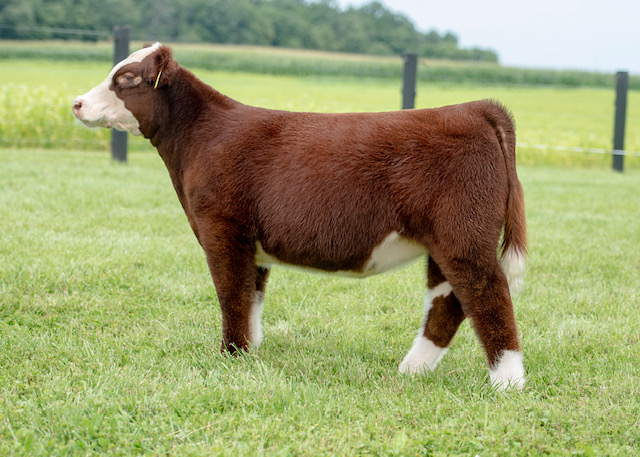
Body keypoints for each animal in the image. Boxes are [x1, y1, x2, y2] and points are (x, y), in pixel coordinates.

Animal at [73, 43, 528, 390]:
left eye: (126, 79)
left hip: (463, 235)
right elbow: (252, 296)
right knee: (447, 301)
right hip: (444, 241)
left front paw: (231, 356)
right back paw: (411, 370)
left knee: (488, 295)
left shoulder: (222, 228)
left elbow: (231, 294)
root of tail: (475, 108)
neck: (200, 136)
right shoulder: (250, 241)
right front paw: (250, 352)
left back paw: (507, 382)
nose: (76, 103)